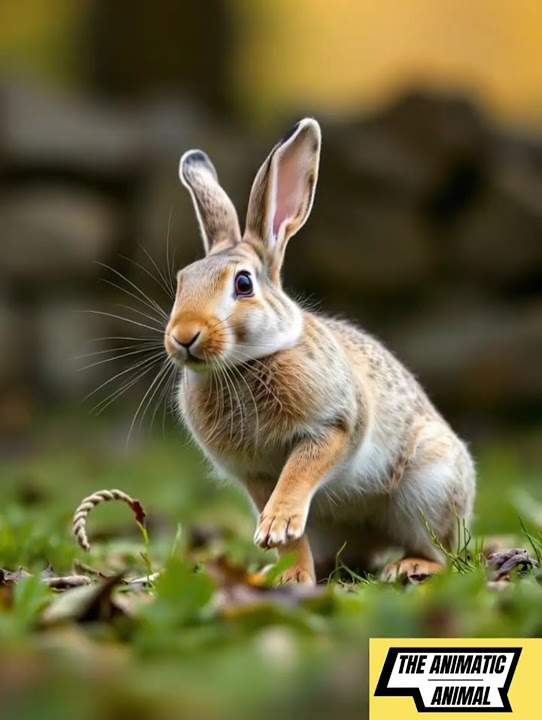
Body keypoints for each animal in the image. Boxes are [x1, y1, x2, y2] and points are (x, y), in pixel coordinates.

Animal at [164, 118, 476, 585]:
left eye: (243, 283)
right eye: (182, 282)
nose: (184, 336)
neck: (245, 363)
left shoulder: (332, 427)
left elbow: (299, 474)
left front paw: (277, 526)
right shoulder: (255, 473)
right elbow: (290, 532)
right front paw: (290, 573)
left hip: (428, 488)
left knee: (441, 553)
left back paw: (410, 566)